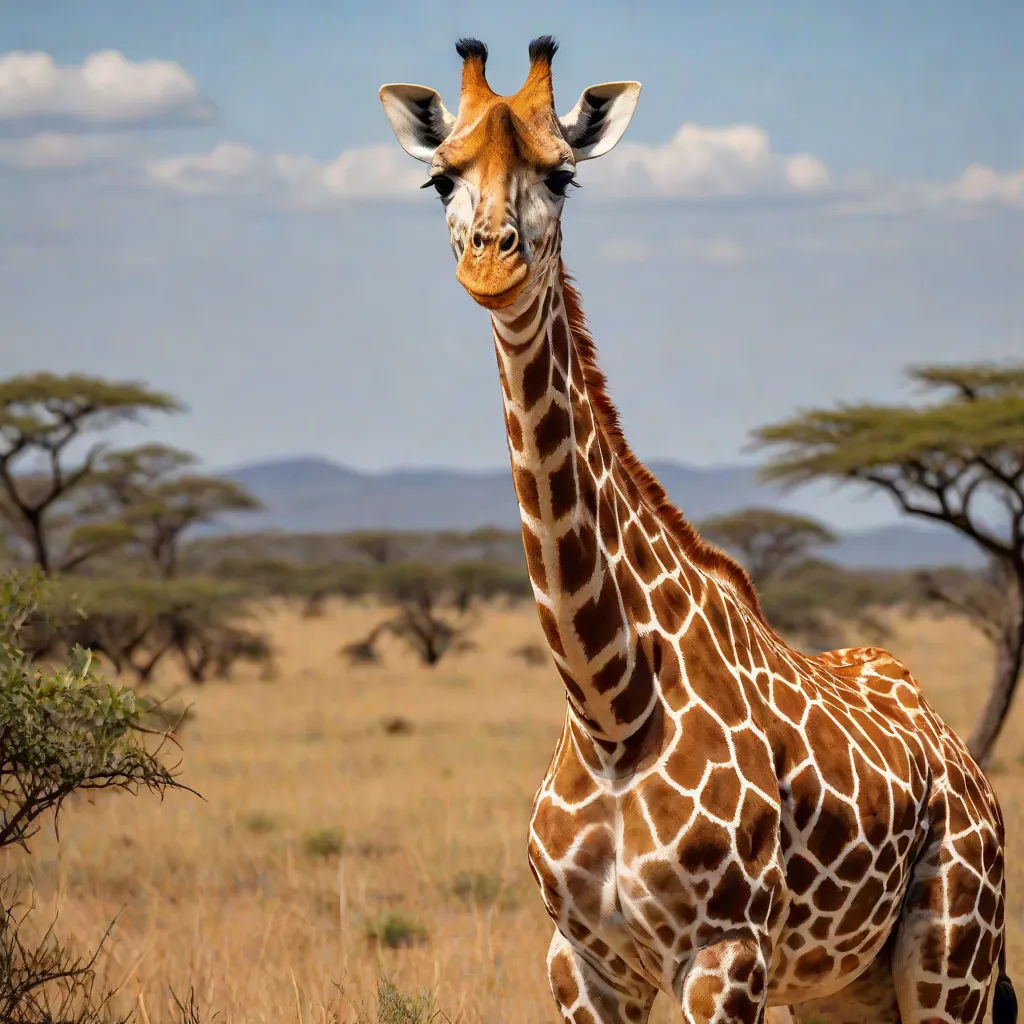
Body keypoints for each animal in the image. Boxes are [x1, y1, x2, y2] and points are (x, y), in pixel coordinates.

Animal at [379, 37, 1017, 1024]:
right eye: (440, 179)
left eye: (562, 175)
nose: (492, 265)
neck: (609, 709)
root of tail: (967, 767)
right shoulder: (579, 959)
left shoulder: (723, 952)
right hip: (845, 988)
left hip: (954, 957)